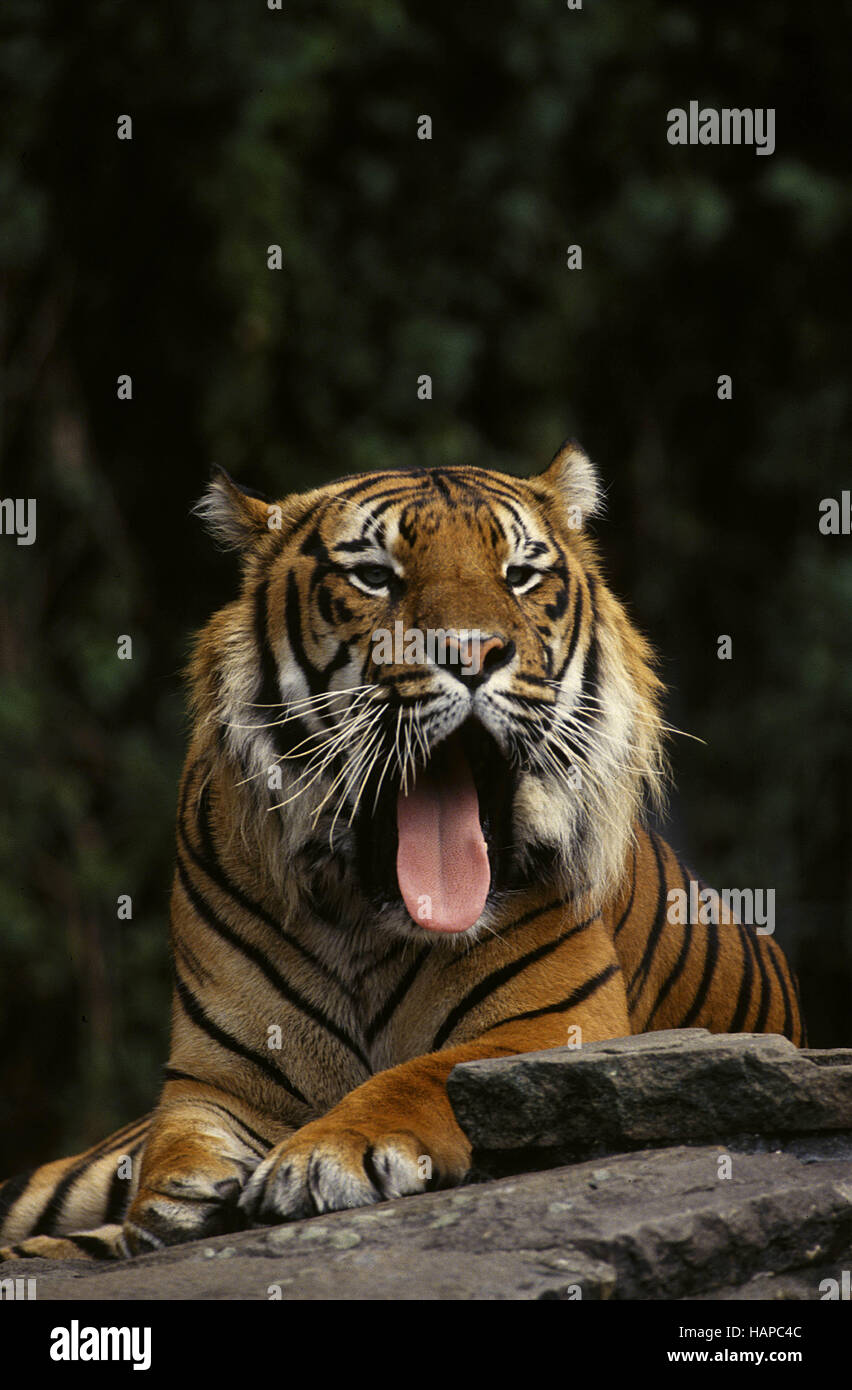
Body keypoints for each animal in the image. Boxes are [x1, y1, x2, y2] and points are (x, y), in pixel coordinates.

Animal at [0, 442, 804, 1262]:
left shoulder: (557, 1029)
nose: (472, 654)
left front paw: (323, 1154)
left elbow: (423, 1075)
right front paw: (178, 1200)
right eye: (375, 576)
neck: (363, 916)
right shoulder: (215, 1076)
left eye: (521, 575)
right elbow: (180, 1138)